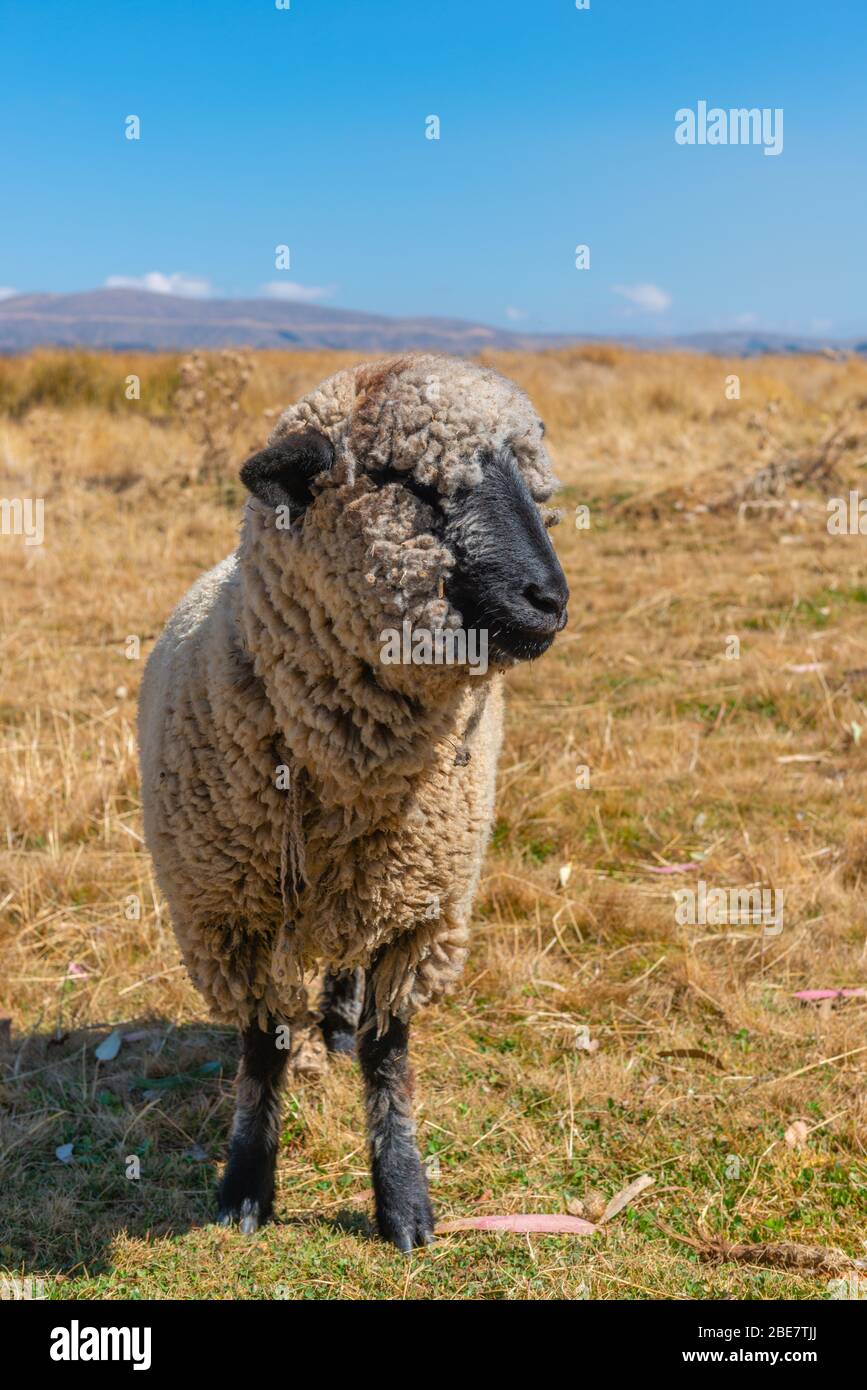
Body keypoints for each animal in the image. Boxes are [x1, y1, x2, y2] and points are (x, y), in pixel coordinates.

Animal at [138, 352, 569, 1250]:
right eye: (403, 479)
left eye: (531, 483)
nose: (551, 600)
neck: (351, 769)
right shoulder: (228, 914)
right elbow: (262, 1050)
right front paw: (245, 1188)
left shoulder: (418, 911)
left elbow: (388, 1053)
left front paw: (403, 1202)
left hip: (380, 884)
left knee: (347, 963)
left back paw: (336, 1017)